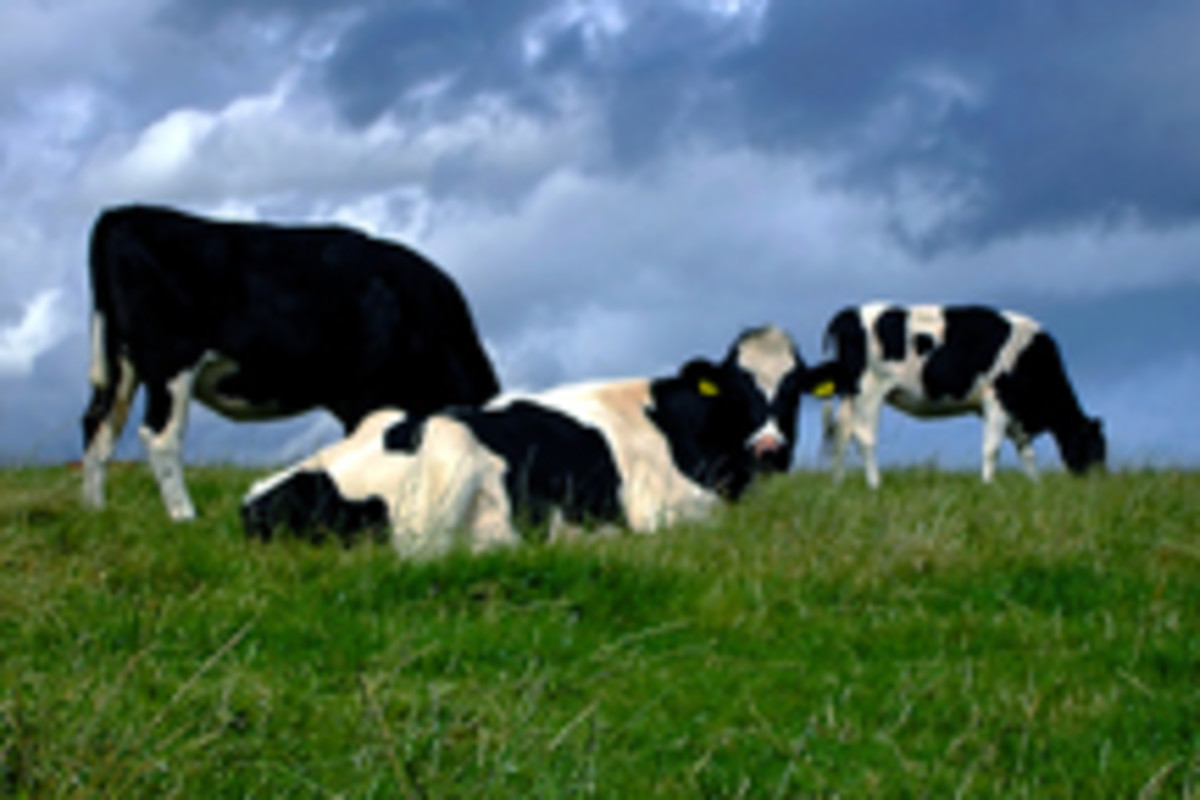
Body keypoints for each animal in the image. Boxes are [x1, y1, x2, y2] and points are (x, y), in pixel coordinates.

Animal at [81, 204, 500, 521]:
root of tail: (121, 214)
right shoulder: (367, 393)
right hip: (171, 360)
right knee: (160, 436)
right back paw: (184, 515)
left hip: (121, 365)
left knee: (98, 425)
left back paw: (95, 510)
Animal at [817, 302, 1106, 488]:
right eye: (1095, 446)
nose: (1100, 481)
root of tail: (849, 313)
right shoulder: (998, 399)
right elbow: (992, 448)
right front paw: (989, 486)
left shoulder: (1014, 412)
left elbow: (1026, 452)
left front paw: (1035, 485)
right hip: (869, 389)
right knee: (864, 438)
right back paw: (875, 485)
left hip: (850, 392)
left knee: (841, 433)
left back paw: (837, 484)